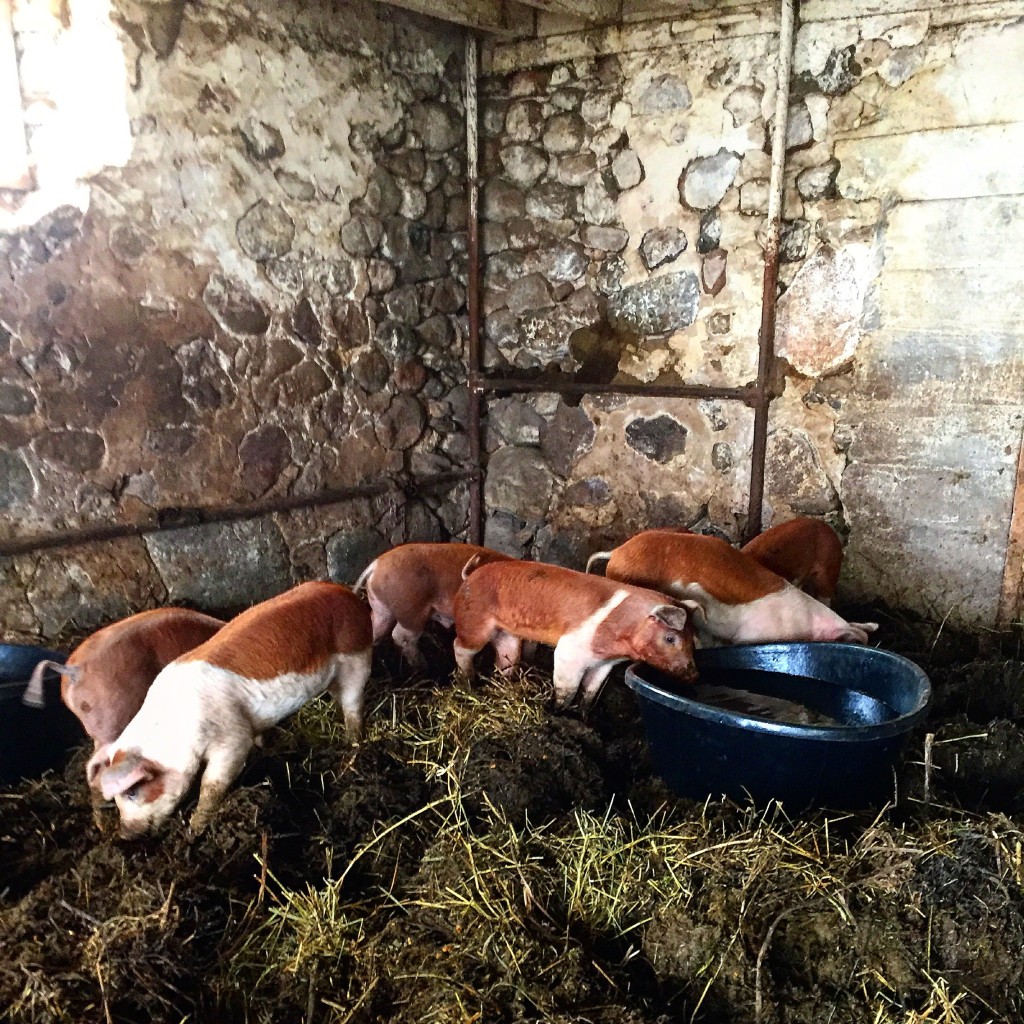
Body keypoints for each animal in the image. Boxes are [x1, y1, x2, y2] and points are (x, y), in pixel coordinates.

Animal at [94, 581, 372, 838]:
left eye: (132, 792)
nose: (124, 834)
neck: (174, 730)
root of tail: (348, 595)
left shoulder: (232, 736)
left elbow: (213, 783)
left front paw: (195, 830)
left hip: (358, 658)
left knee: (354, 706)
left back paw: (352, 748)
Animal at [354, 542, 513, 667]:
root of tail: (376, 566)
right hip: (411, 610)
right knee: (401, 636)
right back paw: (423, 666)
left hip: (380, 608)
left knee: (375, 630)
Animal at [453, 559, 699, 712]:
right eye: (670, 638)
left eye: (692, 639)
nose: (694, 675)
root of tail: (469, 577)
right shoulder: (570, 650)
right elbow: (567, 688)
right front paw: (558, 711)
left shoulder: (605, 664)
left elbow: (591, 690)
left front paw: (584, 714)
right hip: (474, 622)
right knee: (460, 647)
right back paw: (469, 682)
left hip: (507, 634)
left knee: (505, 657)